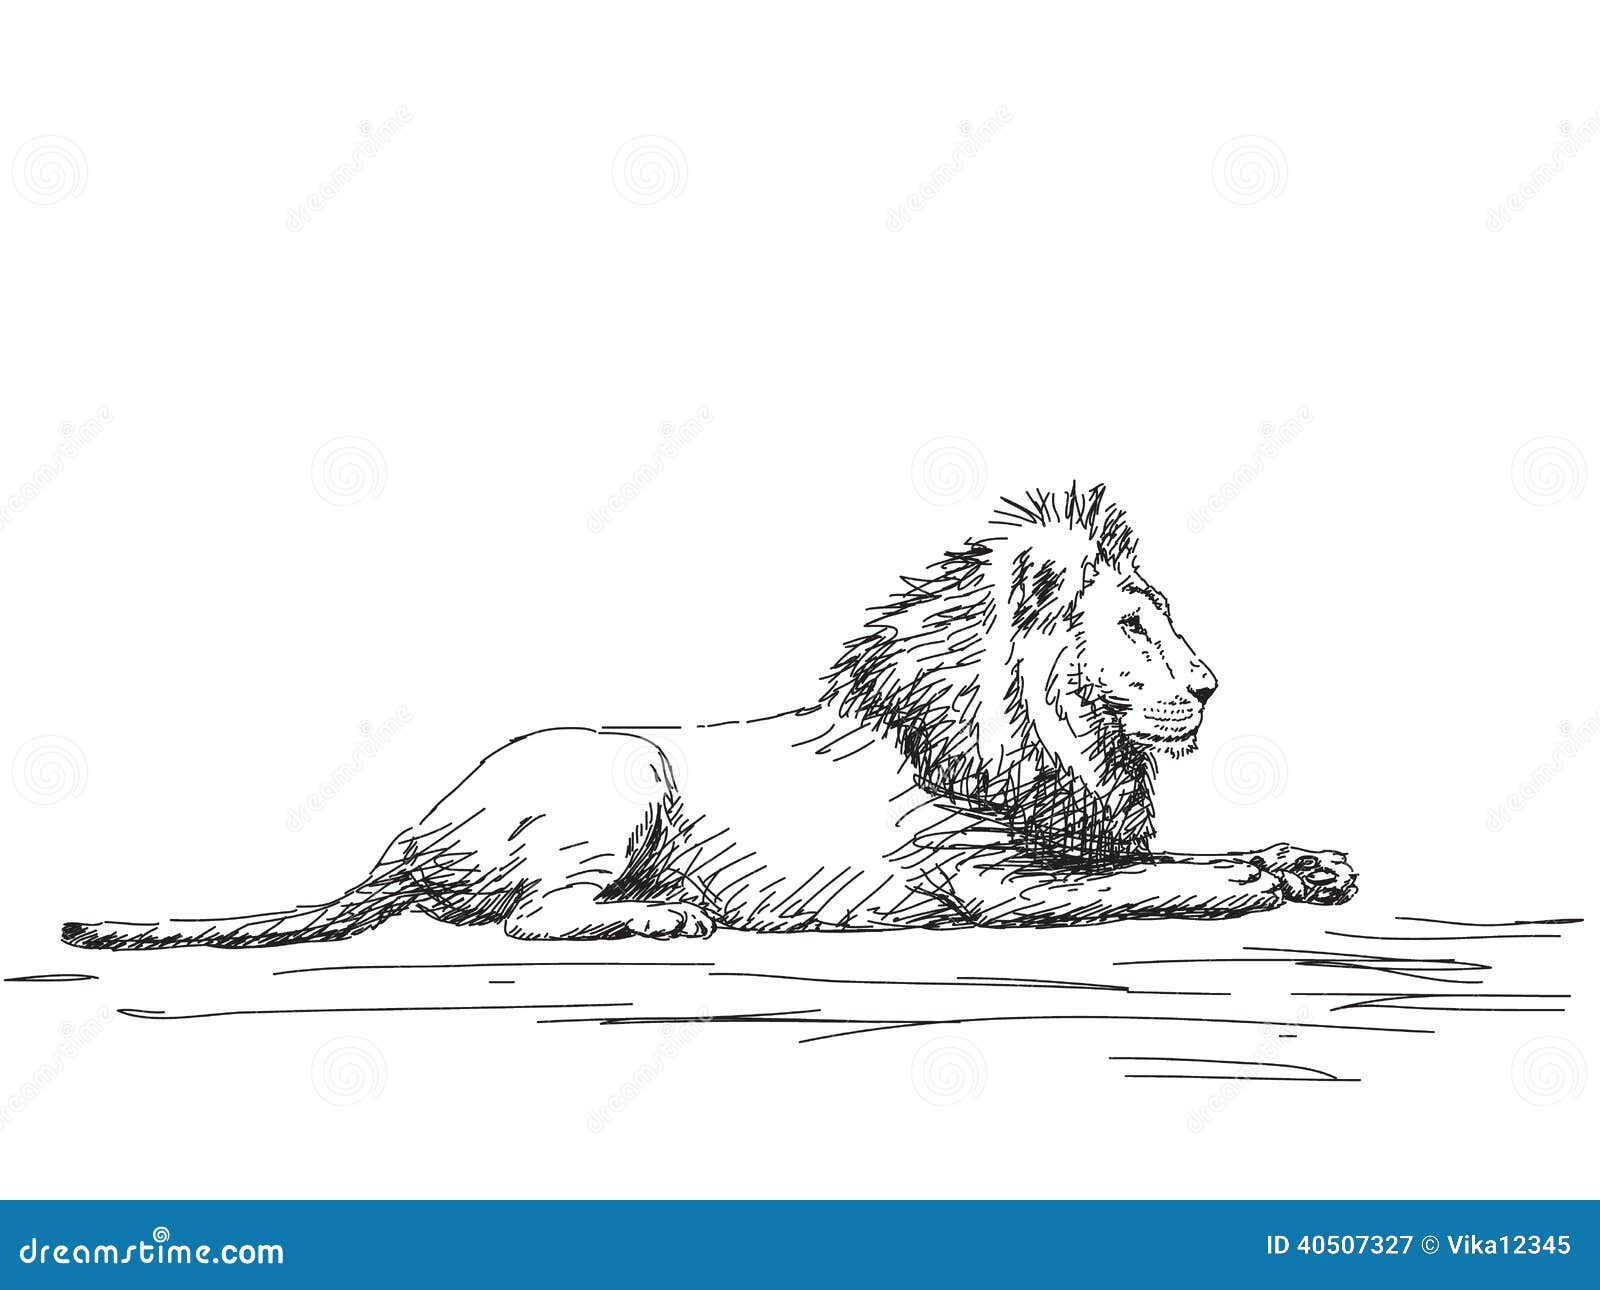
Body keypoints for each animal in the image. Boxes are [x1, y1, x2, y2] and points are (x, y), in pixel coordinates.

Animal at [62, 483, 1354, 949]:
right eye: (1135, 628)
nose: (1210, 684)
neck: (1060, 745)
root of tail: (412, 833)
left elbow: (1173, 856)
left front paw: (1308, 861)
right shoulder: (988, 882)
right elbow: (1151, 885)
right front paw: (1253, 883)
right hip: (616, 778)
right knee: (535, 920)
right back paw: (662, 916)